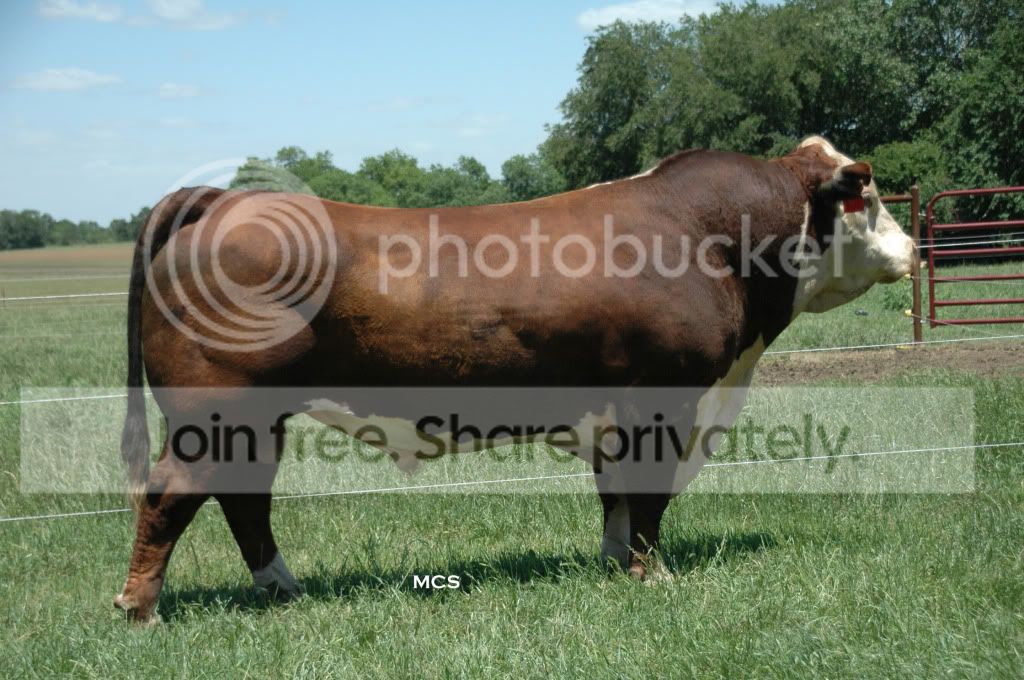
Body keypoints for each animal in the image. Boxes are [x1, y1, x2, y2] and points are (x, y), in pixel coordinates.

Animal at [113, 137, 915, 623]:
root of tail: (217, 200)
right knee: (171, 495)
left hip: (255, 420)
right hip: (214, 412)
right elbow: (650, 500)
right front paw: (652, 576)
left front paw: (613, 564)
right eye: (869, 198)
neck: (711, 238)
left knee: (243, 500)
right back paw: (139, 607)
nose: (913, 250)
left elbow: (616, 499)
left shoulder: (616, 414)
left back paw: (282, 589)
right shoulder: (667, 401)